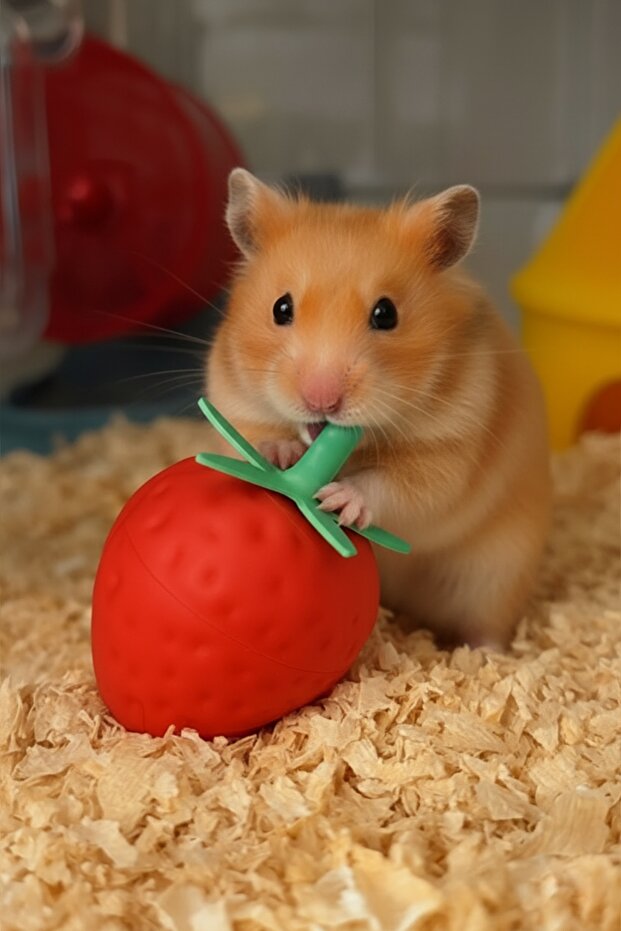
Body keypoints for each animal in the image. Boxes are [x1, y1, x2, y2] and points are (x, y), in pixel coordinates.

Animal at [205, 168, 551, 650]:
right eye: (281, 307)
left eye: (386, 314)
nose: (322, 400)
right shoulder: (234, 402)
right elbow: (254, 436)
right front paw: (282, 455)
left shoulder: (451, 450)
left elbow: (402, 486)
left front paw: (338, 501)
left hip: (497, 574)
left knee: (488, 625)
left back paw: (486, 654)